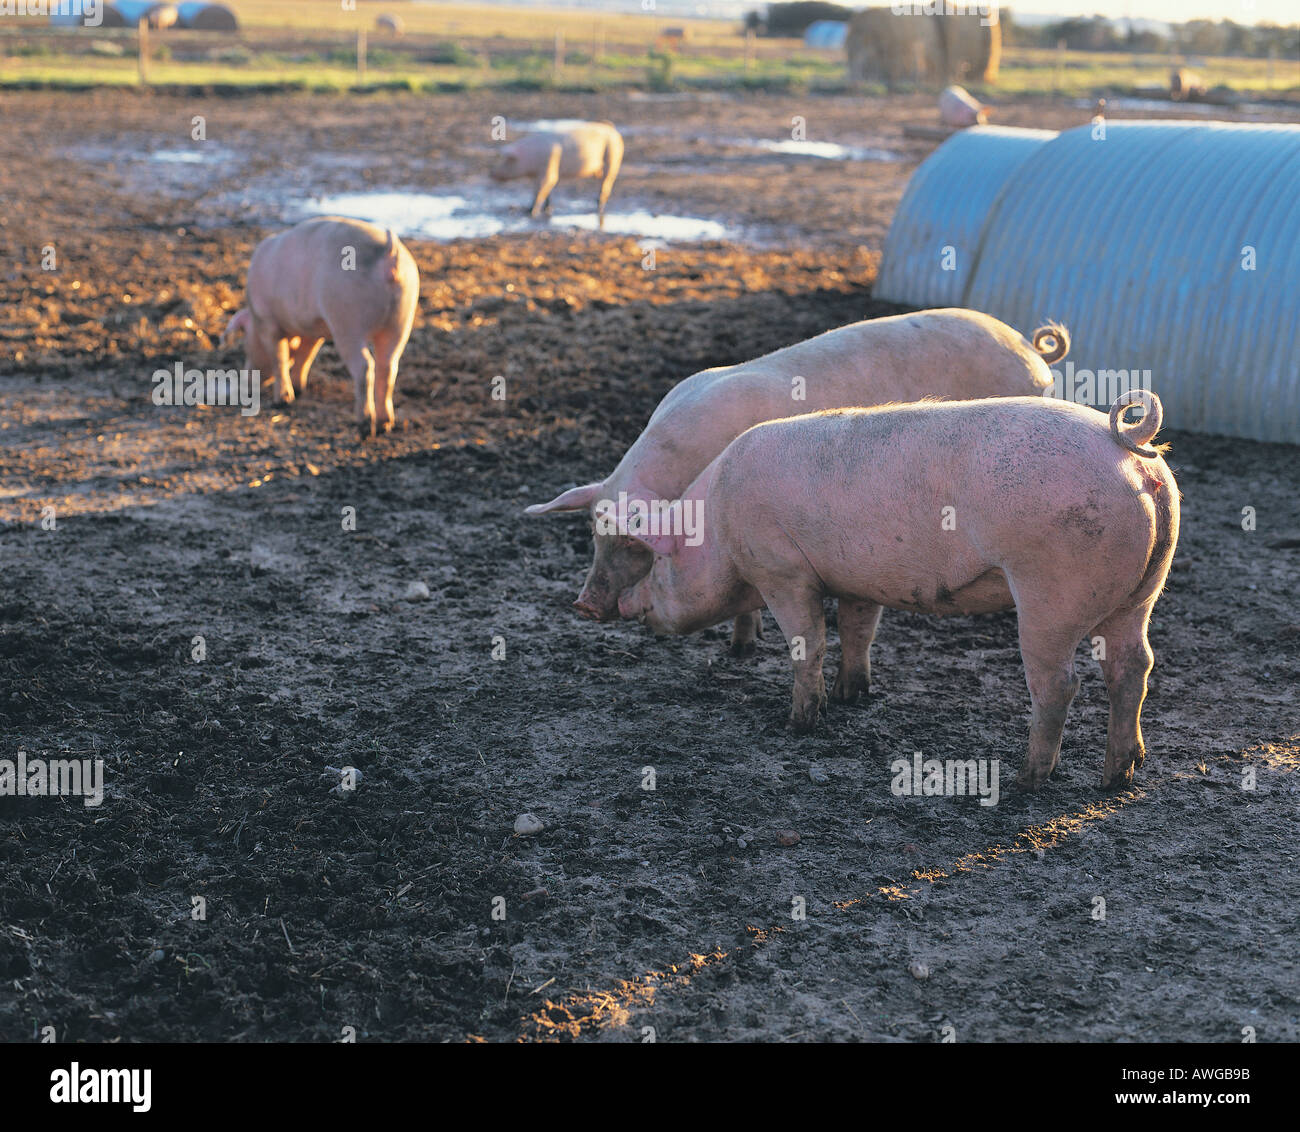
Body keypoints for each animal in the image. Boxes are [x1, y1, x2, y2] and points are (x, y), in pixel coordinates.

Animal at [220, 217, 419, 439]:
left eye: (245, 343)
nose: (246, 382)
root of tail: (389, 254)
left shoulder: (268, 322)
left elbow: (279, 357)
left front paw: (283, 400)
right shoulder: (313, 328)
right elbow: (305, 355)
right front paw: (298, 389)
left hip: (348, 321)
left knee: (365, 366)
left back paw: (365, 425)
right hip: (402, 319)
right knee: (389, 366)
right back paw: (385, 424)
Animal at [490, 121, 624, 229]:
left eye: (507, 160)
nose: (491, 173)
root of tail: (613, 130)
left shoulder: (549, 166)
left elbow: (545, 186)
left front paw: (532, 213)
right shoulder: (537, 174)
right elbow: (538, 190)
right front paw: (538, 209)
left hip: (613, 158)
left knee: (606, 184)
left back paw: (599, 207)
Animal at [525, 308, 1071, 656]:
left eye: (634, 546)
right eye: (593, 536)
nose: (583, 606)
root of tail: (1031, 349)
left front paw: (744, 647)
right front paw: (741, 647)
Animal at [617, 389, 1179, 792]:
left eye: (660, 563)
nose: (625, 604)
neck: (719, 525)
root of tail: (1128, 446)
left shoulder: (781, 570)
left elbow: (808, 644)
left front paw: (798, 724)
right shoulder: (855, 582)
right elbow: (858, 631)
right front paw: (853, 695)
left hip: (1049, 592)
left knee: (1060, 684)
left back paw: (1026, 781)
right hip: (1142, 593)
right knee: (1135, 666)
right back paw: (1118, 776)